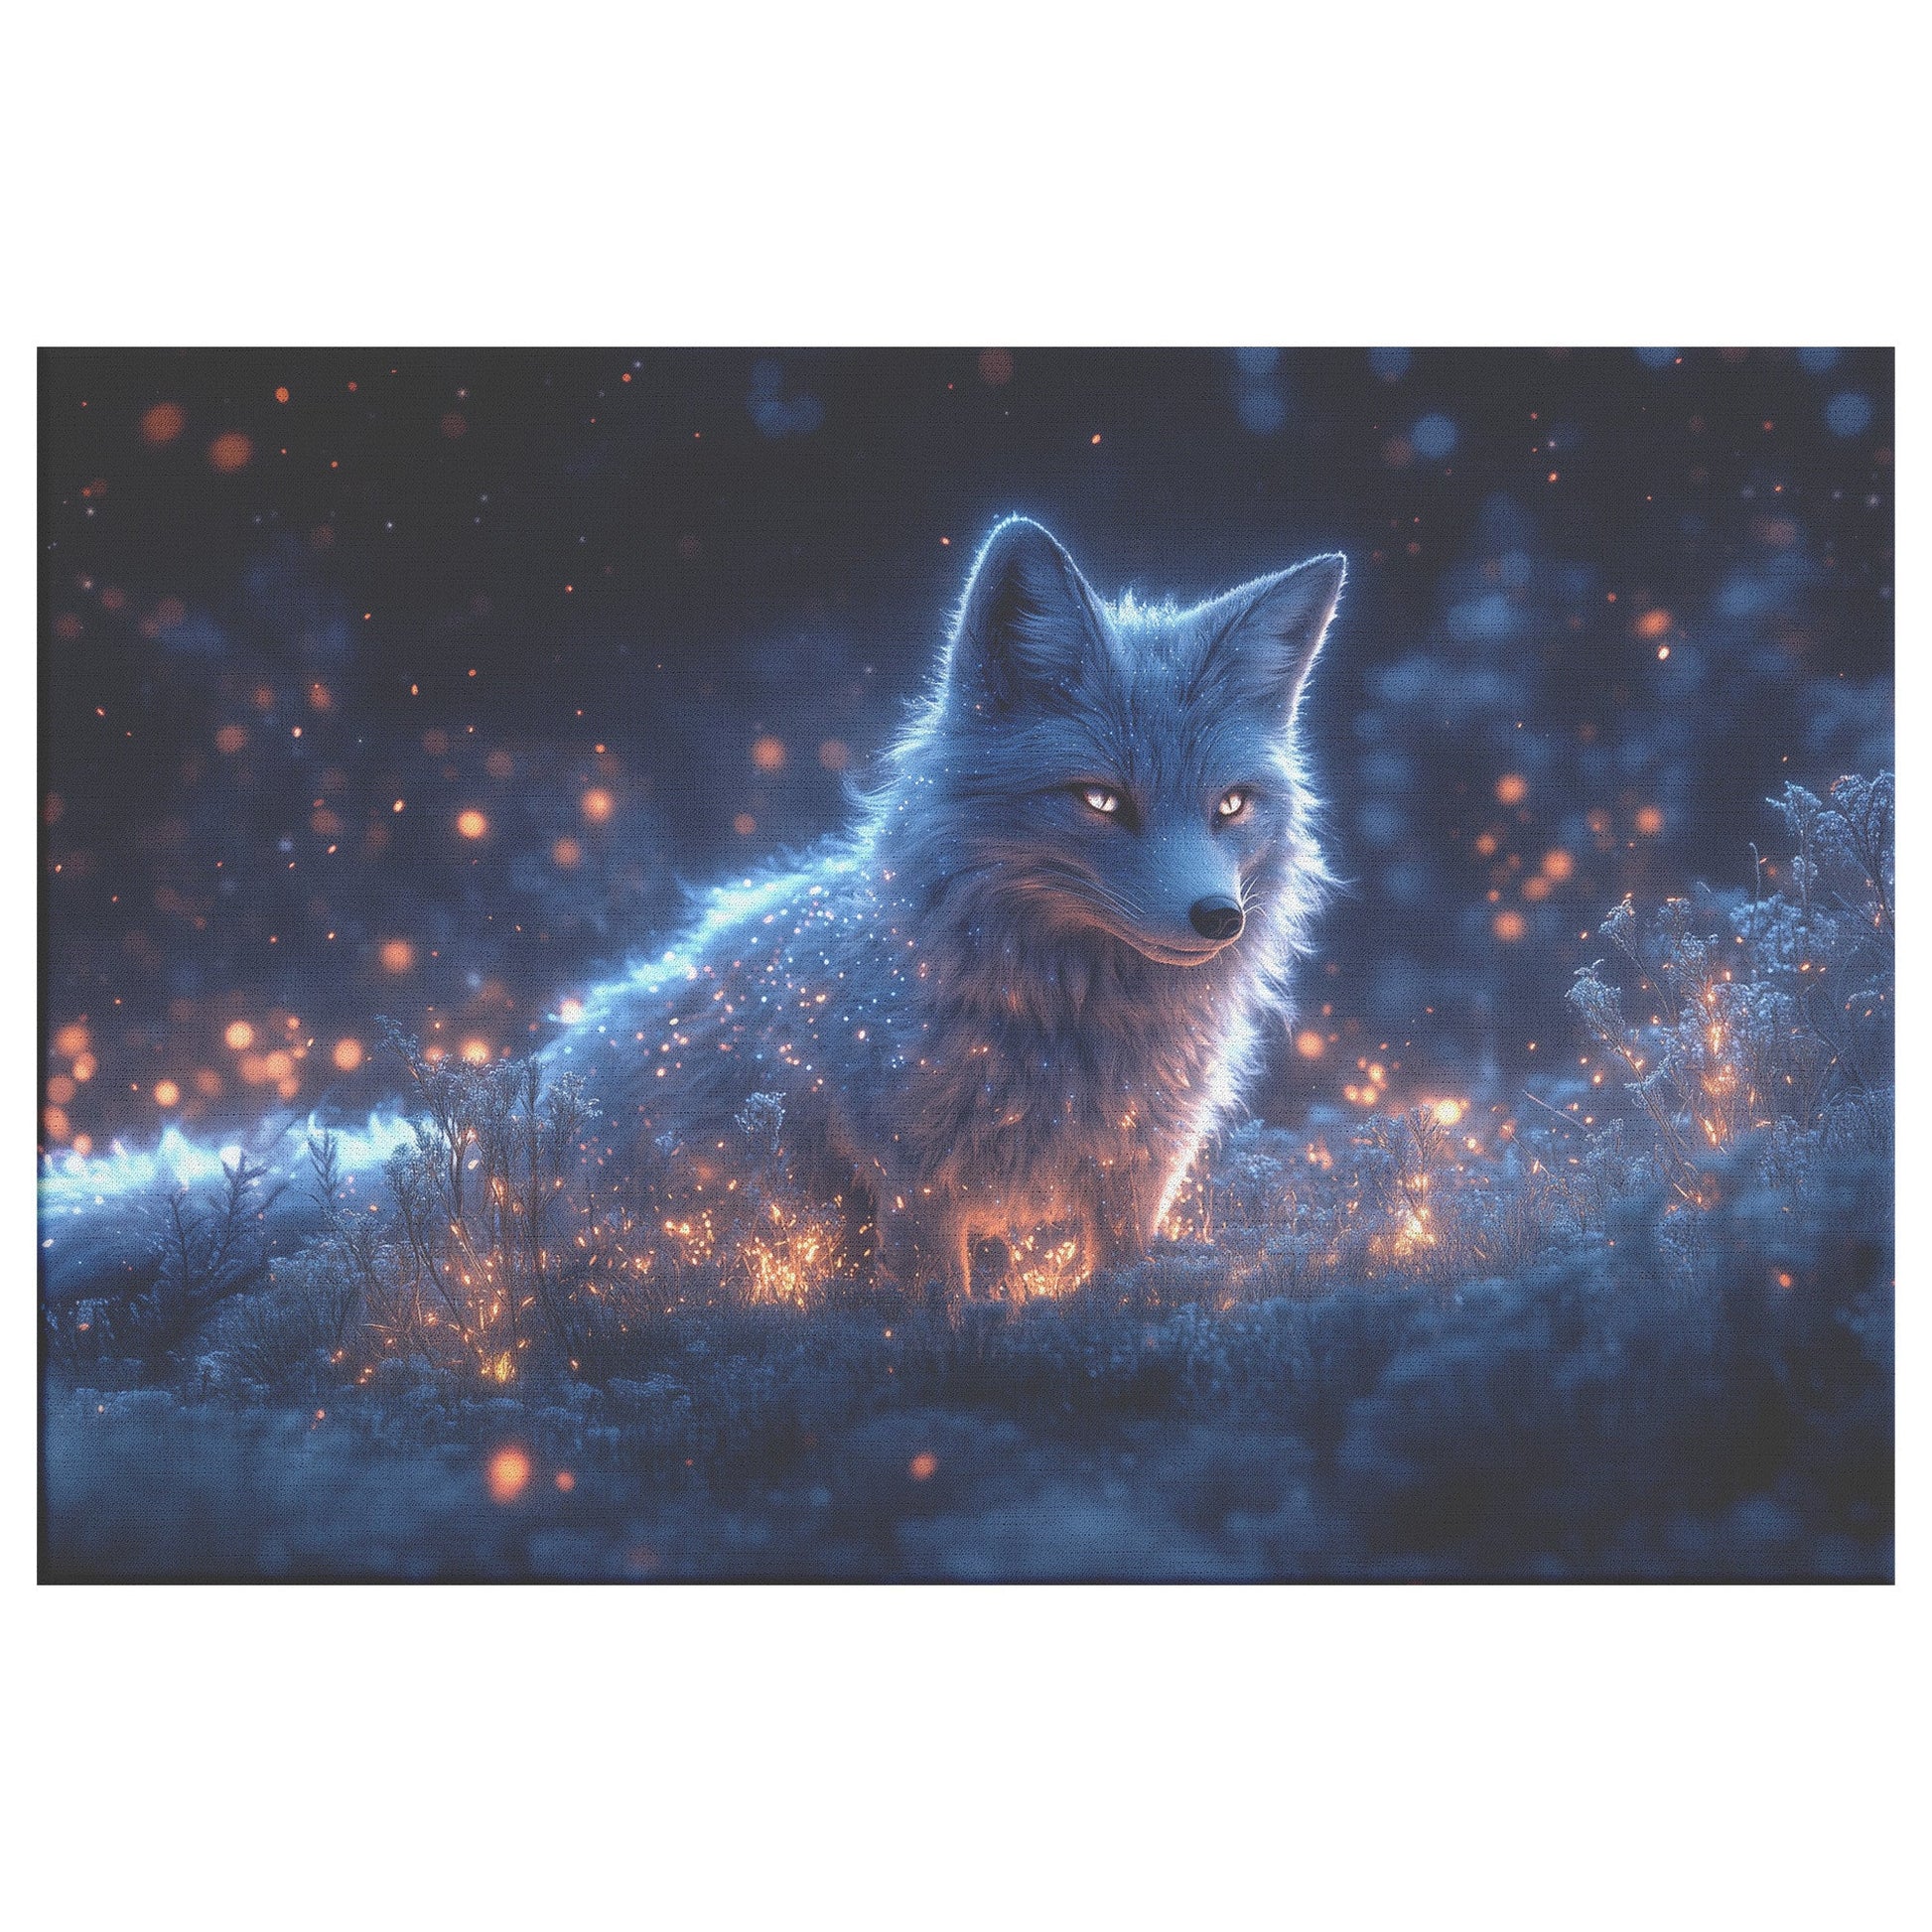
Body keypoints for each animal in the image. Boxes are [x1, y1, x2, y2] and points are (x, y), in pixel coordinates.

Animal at [553, 516, 1344, 1295]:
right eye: (1101, 800)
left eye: (1231, 805)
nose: (1219, 918)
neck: (1065, 1026)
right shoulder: (916, 1185)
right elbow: (941, 1309)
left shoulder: (1137, 1179)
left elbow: (1125, 1287)